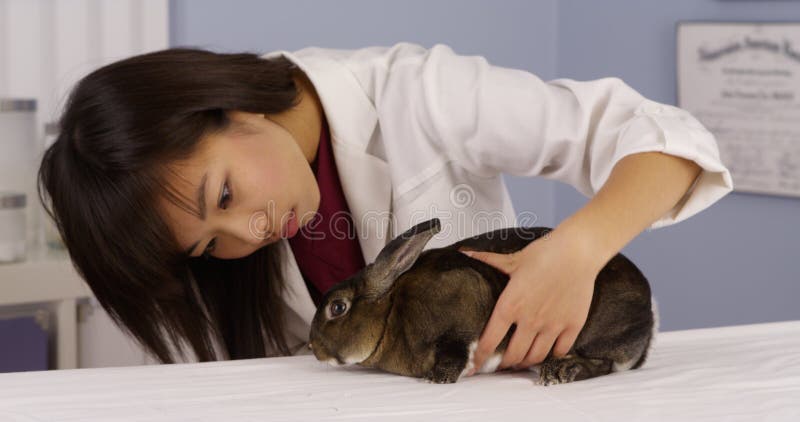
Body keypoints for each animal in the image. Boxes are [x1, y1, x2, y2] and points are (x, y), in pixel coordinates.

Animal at [308, 218, 657, 385]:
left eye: (337, 307)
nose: (313, 348)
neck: (391, 313)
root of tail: (650, 317)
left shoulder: (461, 304)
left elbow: (455, 348)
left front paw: (439, 377)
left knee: (606, 363)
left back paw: (562, 370)